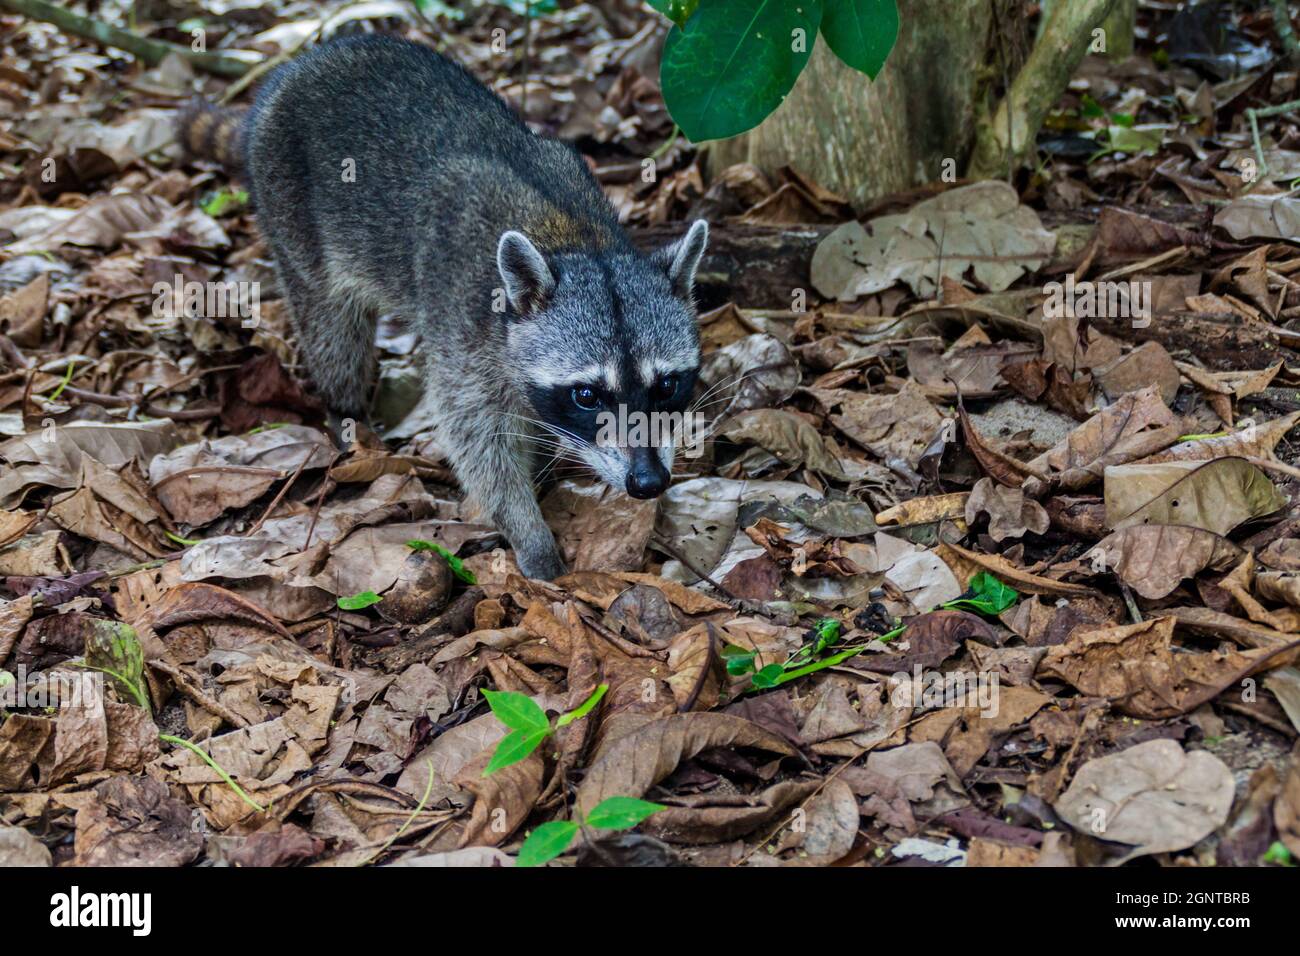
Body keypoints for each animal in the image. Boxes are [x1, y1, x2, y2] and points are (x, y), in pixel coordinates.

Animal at [177, 35, 708, 581]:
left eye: (666, 385)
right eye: (587, 395)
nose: (648, 482)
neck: (576, 240)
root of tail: (302, 64)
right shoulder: (464, 318)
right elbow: (477, 438)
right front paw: (527, 529)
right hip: (286, 201)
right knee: (333, 331)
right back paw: (347, 413)